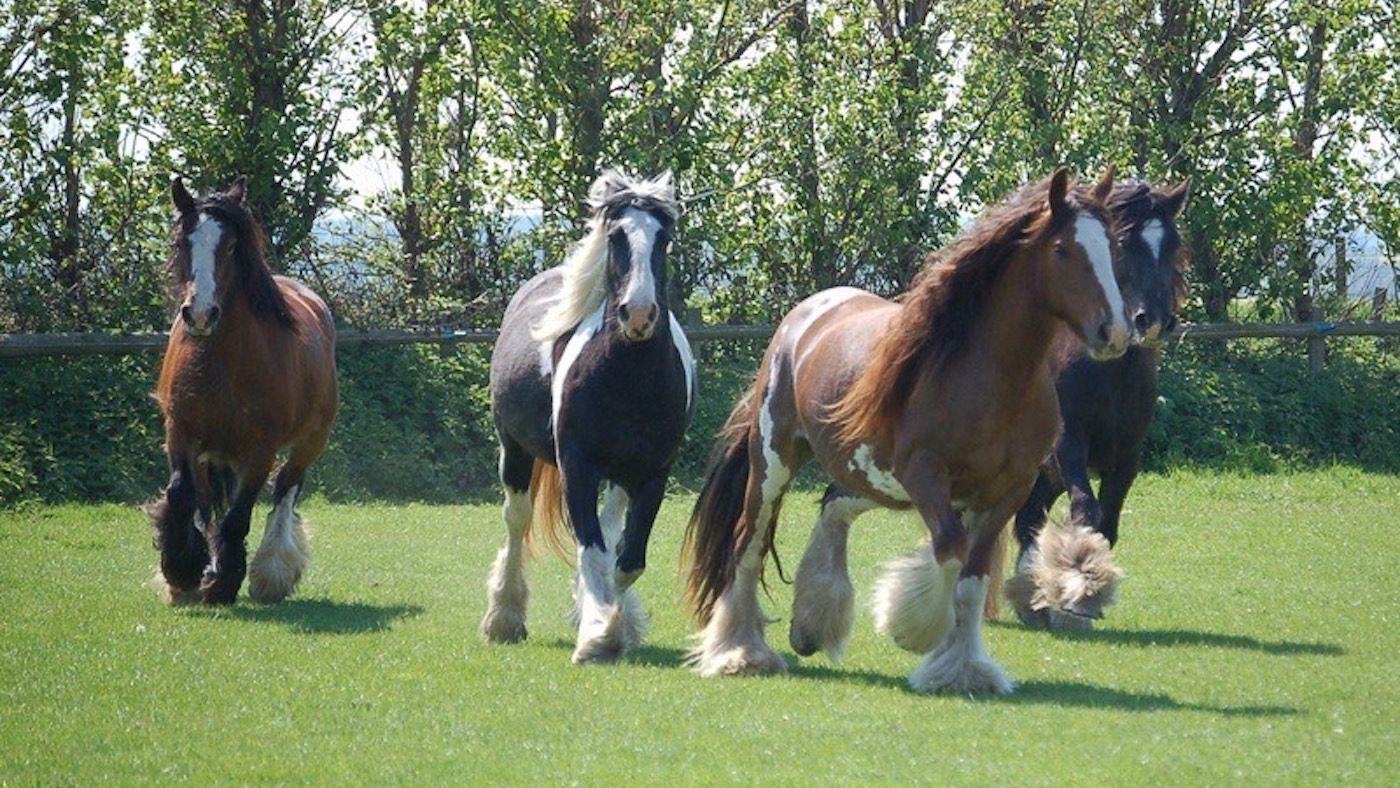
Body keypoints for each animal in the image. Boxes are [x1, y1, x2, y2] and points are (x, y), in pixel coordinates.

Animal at [147, 176, 338, 606]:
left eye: (232, 246)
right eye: (182, 243)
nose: (201, 314)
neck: (220, 364)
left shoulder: (260, 449)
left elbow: (239, 516)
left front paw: (223, 582)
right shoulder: (180, 432)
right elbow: (183, 495)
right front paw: (182, 570)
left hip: (311, 442)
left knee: (286, 487)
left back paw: (273, 570)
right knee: (207, 502)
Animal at [481, 171, 696, 664]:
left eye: (664, 239)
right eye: (616, 236)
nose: (639, 314)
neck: (629, 377)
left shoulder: (653, 472)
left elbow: (626, 561)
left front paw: (610, 626)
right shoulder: (577, 465)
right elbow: (592, 550)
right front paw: (597, 638)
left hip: (619, 475)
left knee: (610, 527)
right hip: (514, 452)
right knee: (516, 520)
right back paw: (504, 617)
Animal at [681, 168, 1129, 694]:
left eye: (1112, 247)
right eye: (1062, 249)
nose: (1114, 333)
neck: (989, 377)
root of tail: (803, 317)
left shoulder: (1008, 490)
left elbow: (972, 579)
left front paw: (965, 669)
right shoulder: (925, 475)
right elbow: (950, 553)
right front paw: (913, 630)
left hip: (869, 474)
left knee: (833, 505)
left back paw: (810, 625)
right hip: (774, 462)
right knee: (747, 543)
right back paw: (741, 652)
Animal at [1000, 179, 1189, 628]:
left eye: (1172, 243)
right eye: (1122, 243)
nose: (1154, 321)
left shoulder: (1128, 457)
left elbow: (1108, 522)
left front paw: (1081, 590)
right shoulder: (1068, 447)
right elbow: (1087, 512)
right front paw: (1080, 596)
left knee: (1029, 518)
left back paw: (1030, 599)